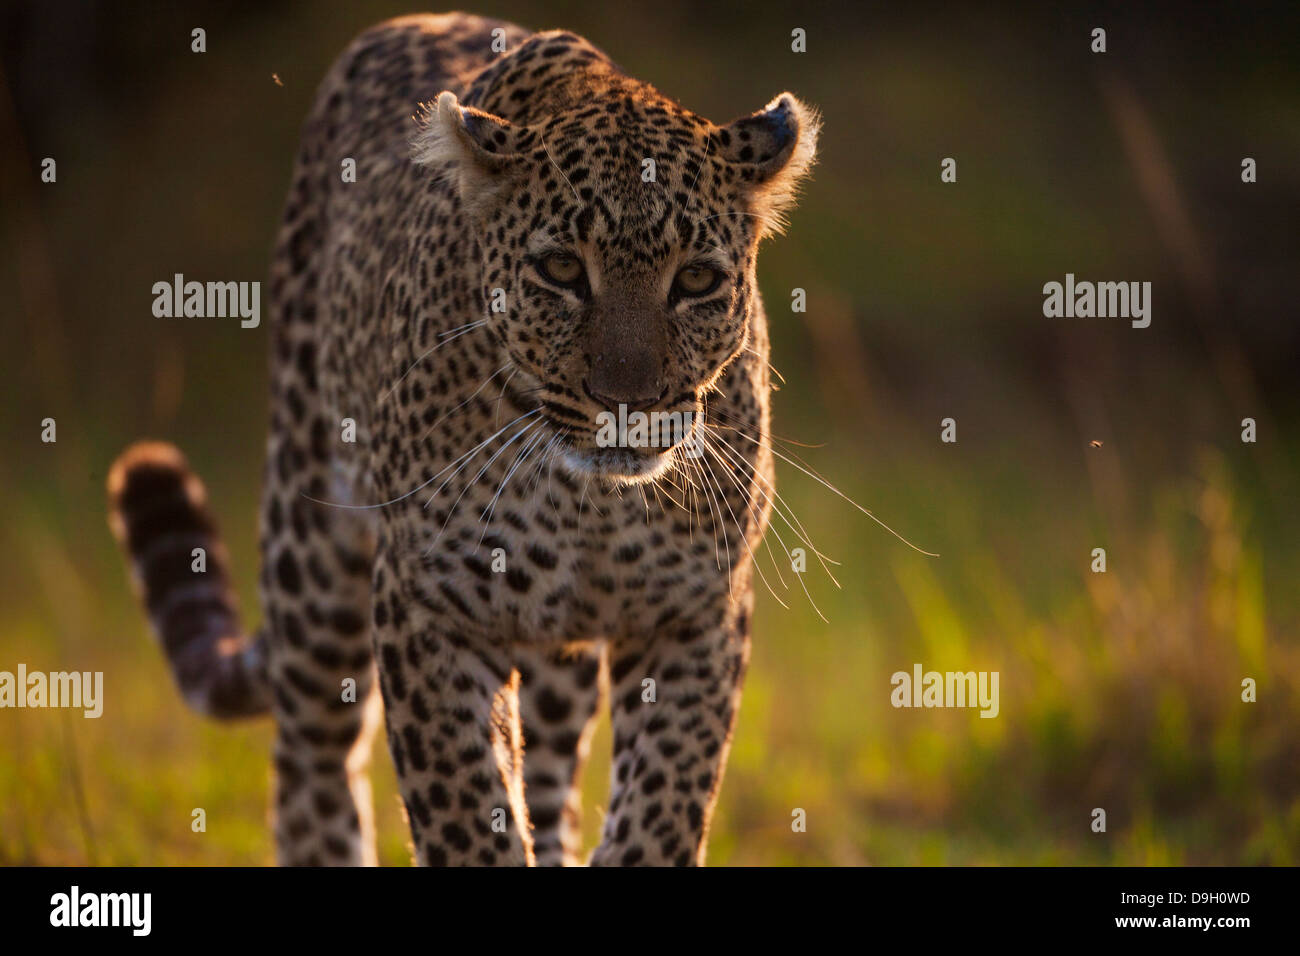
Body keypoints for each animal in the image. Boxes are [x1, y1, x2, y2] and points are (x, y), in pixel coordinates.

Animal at [107, 12, 819, 866]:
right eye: (560, 271)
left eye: (697, 281)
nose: (629, 402)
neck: (592, 498)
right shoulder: (428, 605)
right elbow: (466, 813)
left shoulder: (696, 610)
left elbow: (663, 805)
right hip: (313, 554)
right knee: (312, 760)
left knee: (548, 787)